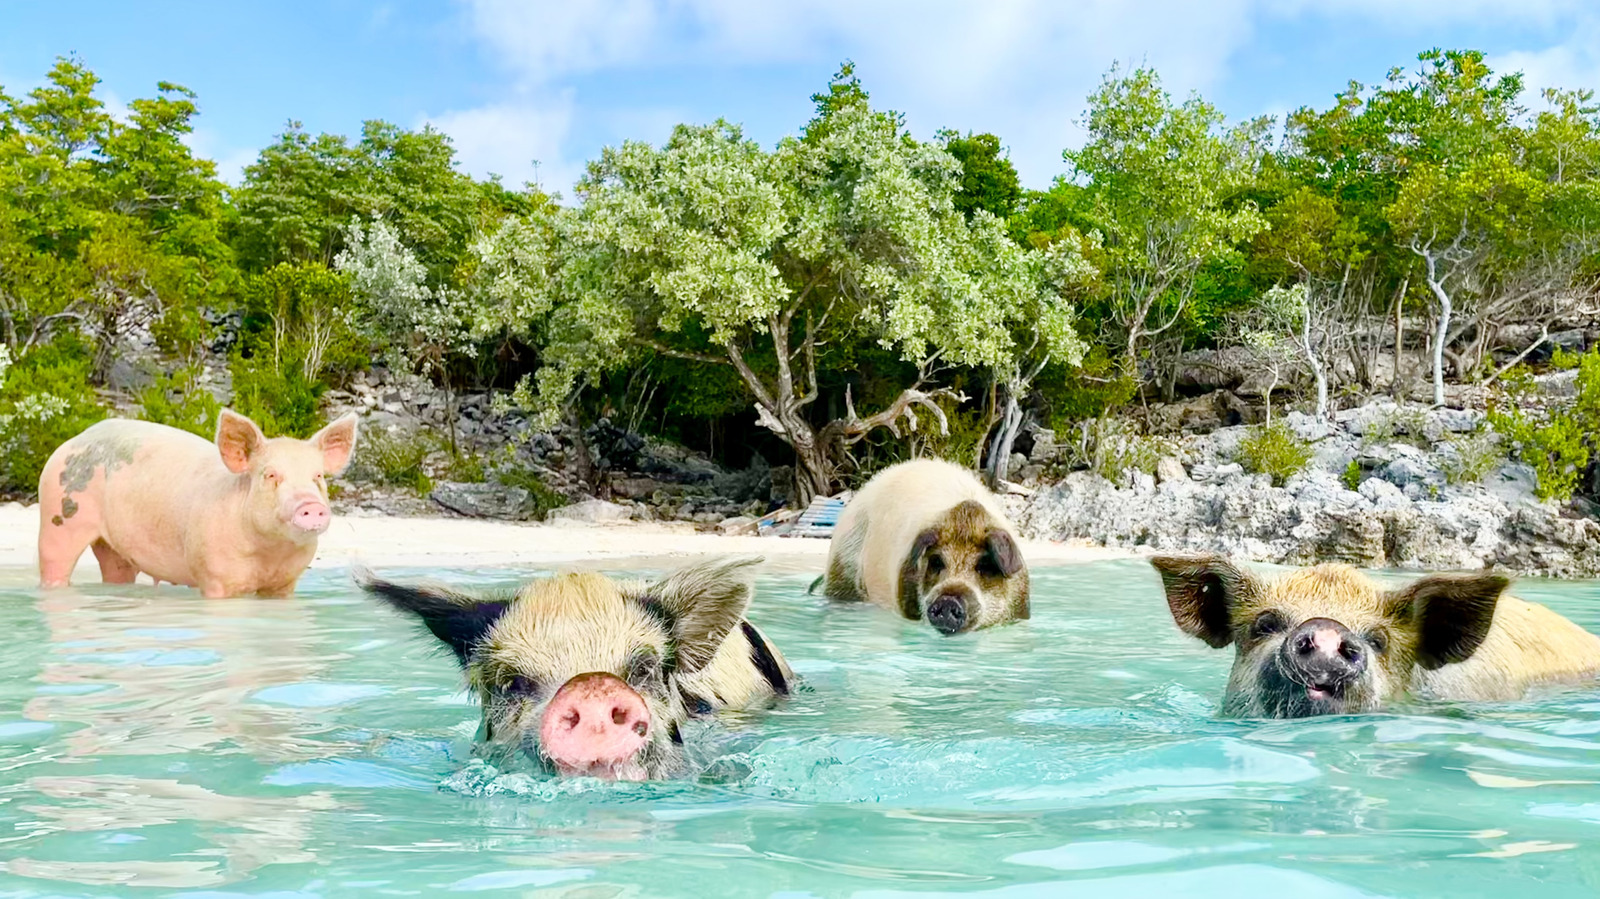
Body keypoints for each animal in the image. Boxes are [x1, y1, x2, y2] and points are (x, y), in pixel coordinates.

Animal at [37, 409, 358, 598]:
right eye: (270, 475)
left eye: (317, 476)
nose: (310, 504)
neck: (269, 553)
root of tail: (77, 438)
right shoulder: (214, 574)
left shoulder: (285, 583)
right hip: (57, 513)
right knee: (54, 562)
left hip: (114, 547)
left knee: (116, 571)